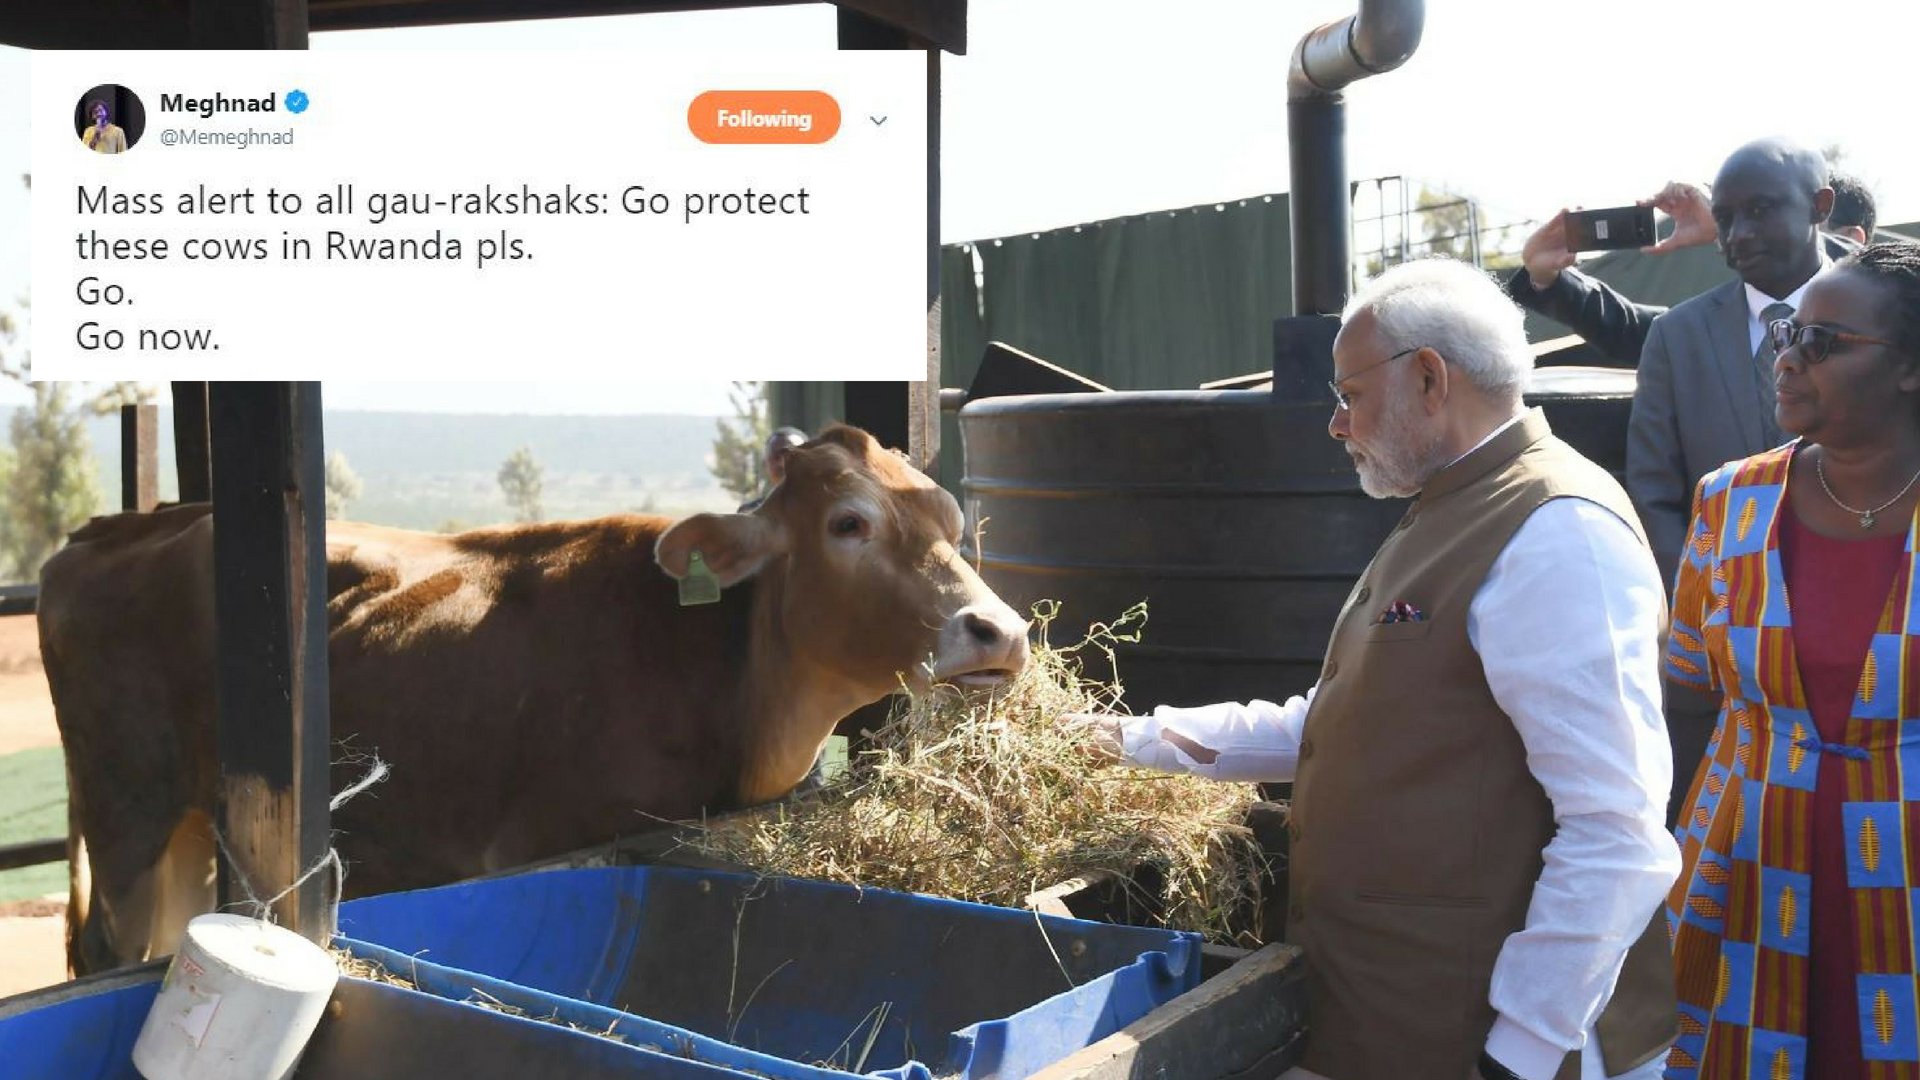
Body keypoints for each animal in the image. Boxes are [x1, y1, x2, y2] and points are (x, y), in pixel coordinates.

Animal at [38, 425, 1030, 975]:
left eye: (951, 520)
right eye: (849, 523)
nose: (1003, 632)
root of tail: (120, 526)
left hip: (182, 827)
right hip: (128, 814)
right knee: (115, 951)